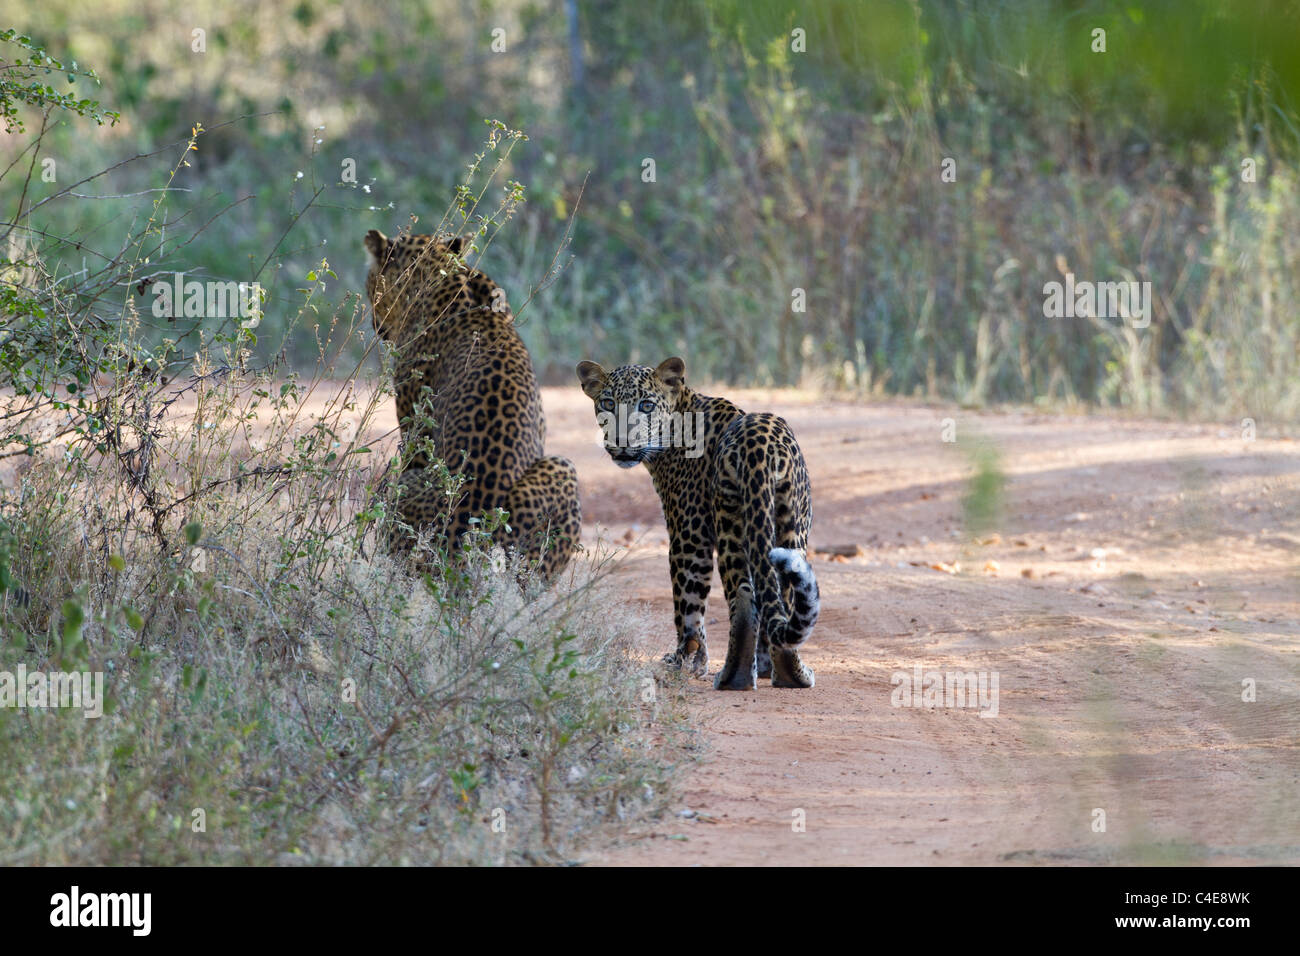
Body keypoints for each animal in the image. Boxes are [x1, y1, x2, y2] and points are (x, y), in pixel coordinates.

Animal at [577, 356, 819, 690]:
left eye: (646, 405)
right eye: (608, 403)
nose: (622, 441)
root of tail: (761, 444)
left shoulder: (688, 533)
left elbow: (687, 605)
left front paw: (686, 660)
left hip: (731, 522)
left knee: (743, 598)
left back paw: (734, 678)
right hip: (791, 522)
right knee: (783, 593)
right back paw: (789, 673)